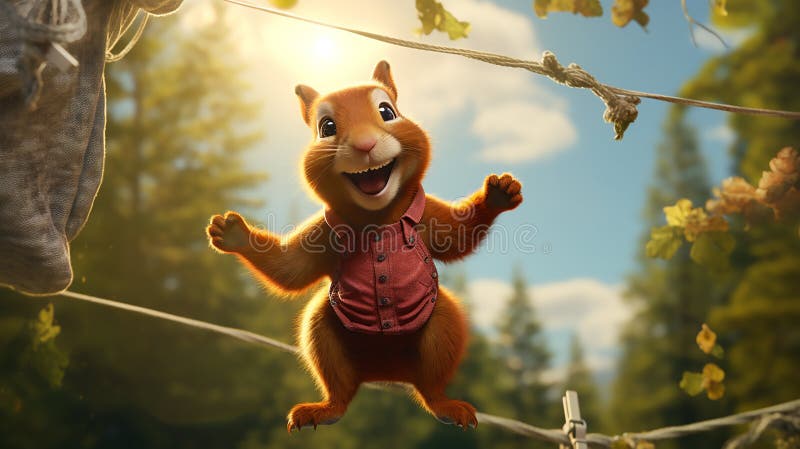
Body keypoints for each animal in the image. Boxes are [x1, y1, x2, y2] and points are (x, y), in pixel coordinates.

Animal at [206, 61, 523, 432]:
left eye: (387, 112)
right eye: (326, 127)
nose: (365, 144)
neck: (377, 219)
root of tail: (387, 374)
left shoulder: (428, 217)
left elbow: (458, 235)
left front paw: (499, 192)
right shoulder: (325, 231)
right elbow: (291, 268)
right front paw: (231, 232)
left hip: (442, 328)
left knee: (431, 383)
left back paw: (446, 406)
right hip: (323, 330)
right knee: (339, 385)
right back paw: (325, 409)